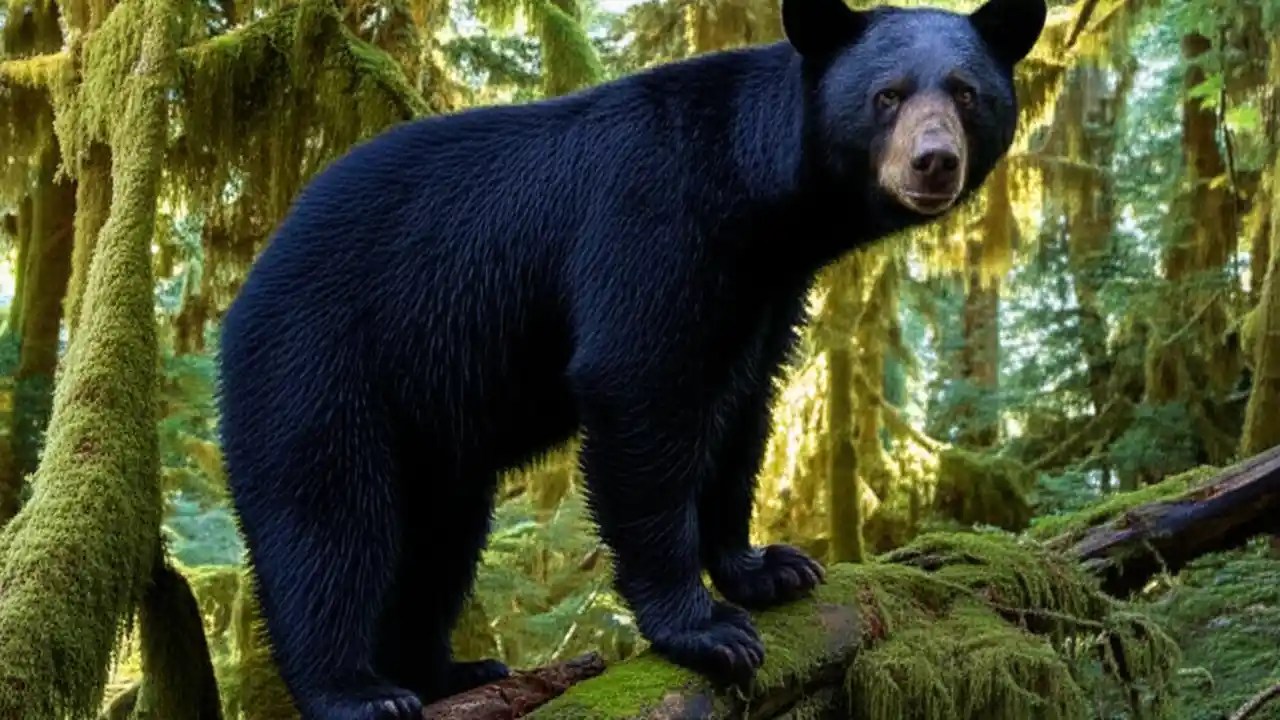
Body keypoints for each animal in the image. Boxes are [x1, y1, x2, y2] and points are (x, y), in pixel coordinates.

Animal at [215, 0, 1047, 716]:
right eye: (887, 95)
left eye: (967, 92)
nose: (934, 162)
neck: (760, 200)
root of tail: (244, 293)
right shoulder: (651, 221)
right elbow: (639, 393)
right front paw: (703, 627)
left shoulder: (762, 295)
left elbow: (741, 418)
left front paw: (768, 568)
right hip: (320, 362)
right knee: (328, 524)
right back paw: (359, 689)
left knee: (438, 542)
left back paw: (448, 669)